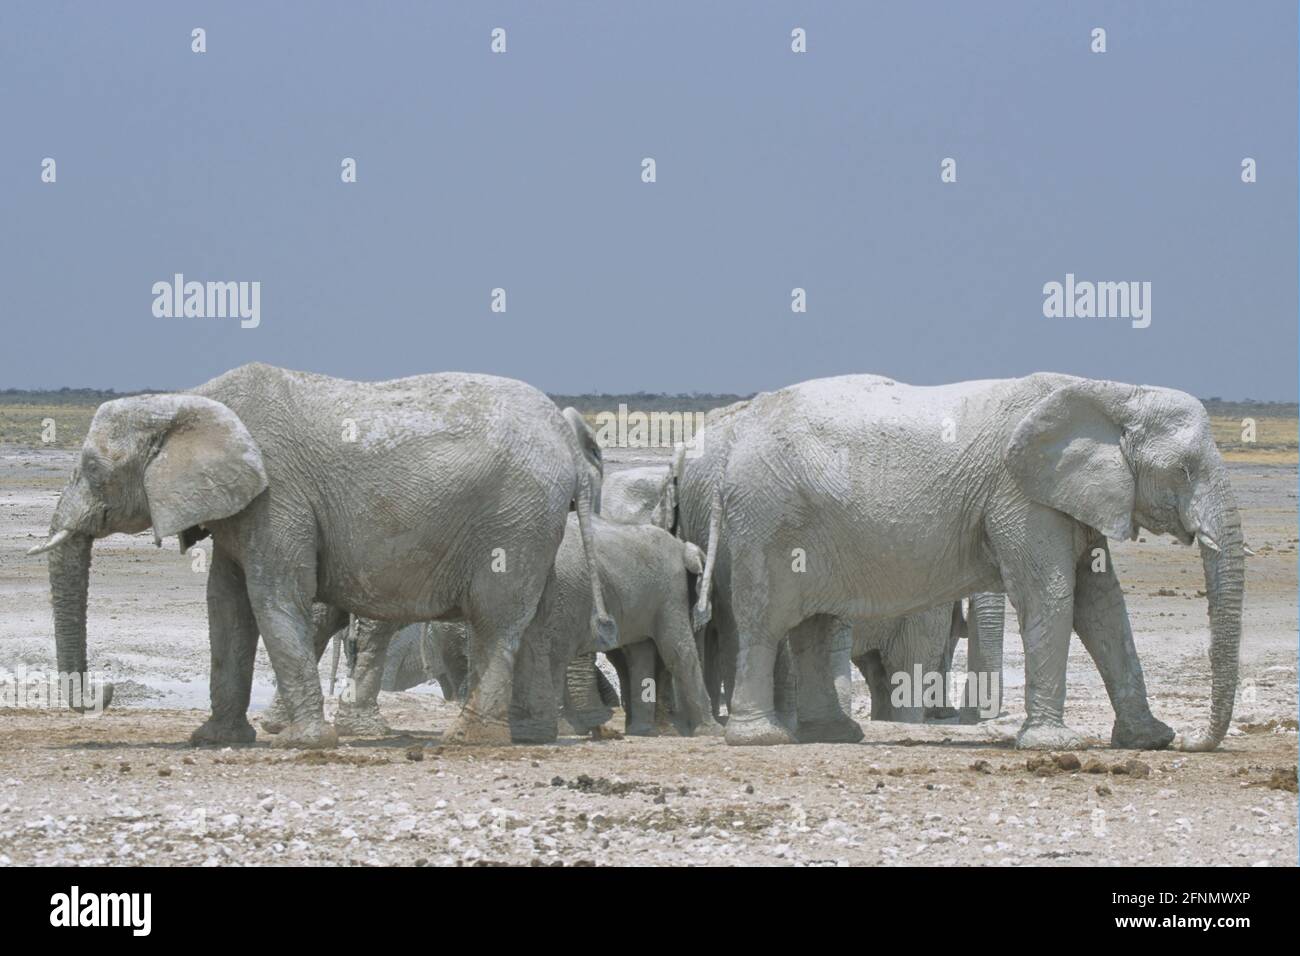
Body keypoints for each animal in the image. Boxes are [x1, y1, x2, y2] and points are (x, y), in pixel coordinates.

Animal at [28, 363, 615, 748]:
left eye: (95, 470)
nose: (98, 694)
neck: (187, 400)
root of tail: (563, 433)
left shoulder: (278, 496)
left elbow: (274, 596)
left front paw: (303, 743)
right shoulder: (242, 506)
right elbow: (226, 606)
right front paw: (214, 739)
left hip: (513, 519)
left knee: (497, 621)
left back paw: (467, 739)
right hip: (533, 522)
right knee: (533, 621)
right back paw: (528, 736)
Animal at [684, 373, 1242, 751]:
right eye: (1183, 470)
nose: (1192, 741)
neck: (1111, 392)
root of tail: (734, 444)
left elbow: (1101, 604)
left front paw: (1150, 739)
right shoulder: (1020, 493)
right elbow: (1051, 594)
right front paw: (1055, 745)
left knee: (815, 627)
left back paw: (836, 736)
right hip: (766, 520)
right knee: (765, 622)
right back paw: (762, 739)